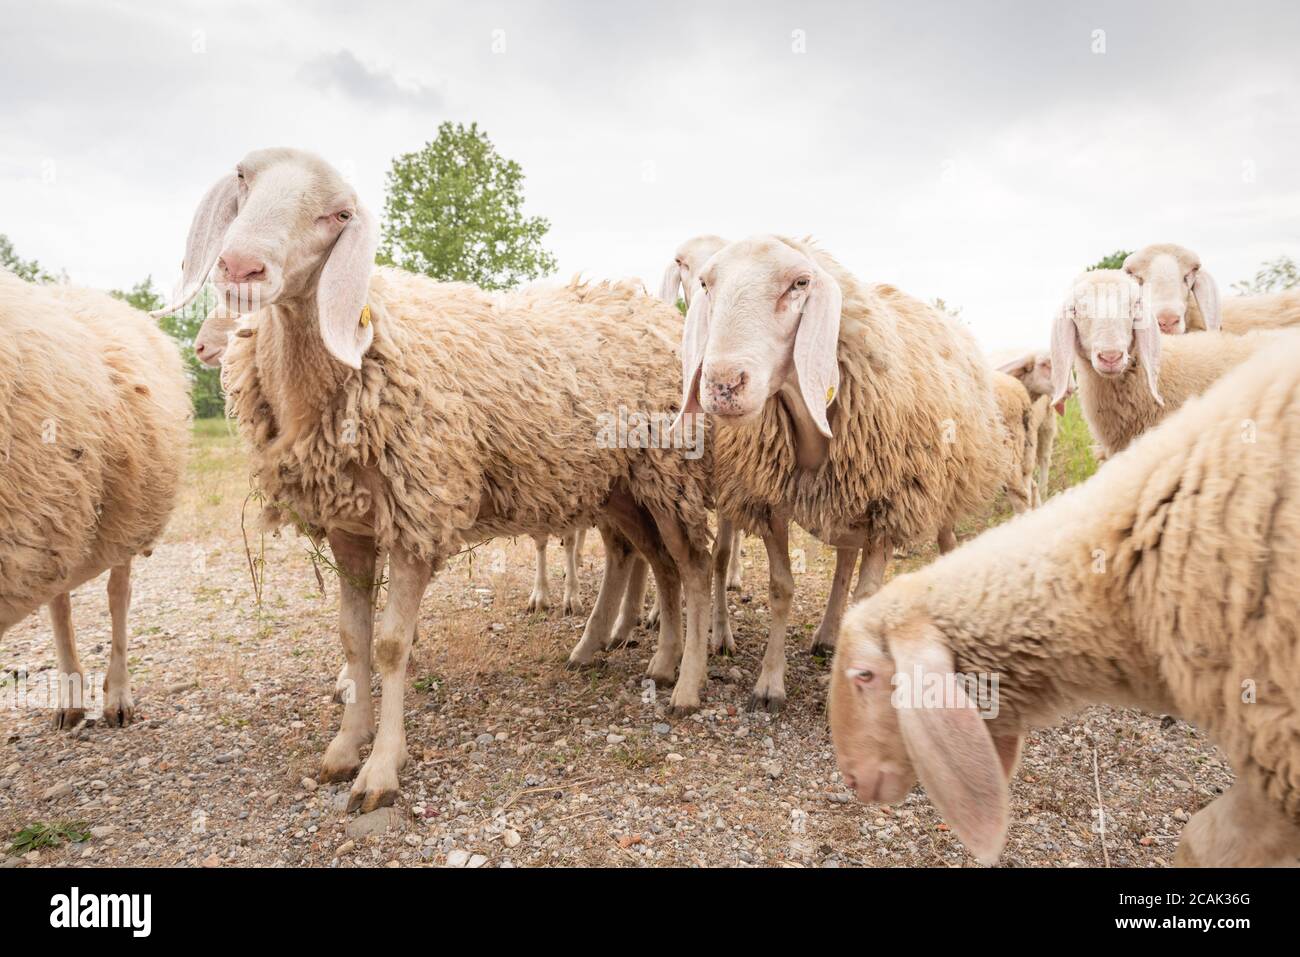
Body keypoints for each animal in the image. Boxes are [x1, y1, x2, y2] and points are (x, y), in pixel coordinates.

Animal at [0, 269, 190, 728]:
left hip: (122, 519)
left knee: (117, 597)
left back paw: (117, 696)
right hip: (59, 519)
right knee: (60, 606)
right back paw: (70, 699)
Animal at [160, 148, 716, 811]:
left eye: (339, 214)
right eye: (243, 180)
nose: (241, 266)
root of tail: (653, 309)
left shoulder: (416, 513)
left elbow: (391, 645)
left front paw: (380, 769)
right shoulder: (349, 525)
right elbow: (352, 638)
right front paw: (345, 747)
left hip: (668, 471)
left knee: (690, 566)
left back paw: (687, 683)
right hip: (622, 485)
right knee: (650, 561)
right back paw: (639, 658)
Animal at [677, 235, 1008, 710]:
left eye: (800, 283)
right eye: (706, 283)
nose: (722, 385)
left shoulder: (891, 504)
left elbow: (868, 593)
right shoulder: (771, 501)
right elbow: (781, 587)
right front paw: (769, 684)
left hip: (943, 487)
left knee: (945, 544)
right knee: (844, 559)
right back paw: (828, 635)